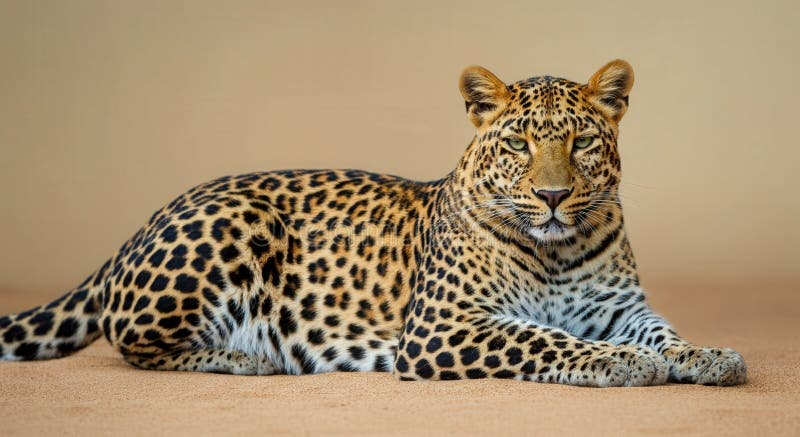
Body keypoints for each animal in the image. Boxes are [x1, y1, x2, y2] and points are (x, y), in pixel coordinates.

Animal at [0, 60, 746, 387]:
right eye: (519, 144)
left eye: (582, 141)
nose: (556, 194)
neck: (558, 249)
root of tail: (141, 223)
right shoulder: (445, 325)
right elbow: (544, 337)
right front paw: (617, 360)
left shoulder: (620, 307)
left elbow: (663, 331)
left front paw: (709, 355)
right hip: (236, 220)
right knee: (132, 343)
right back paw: (247, 355)